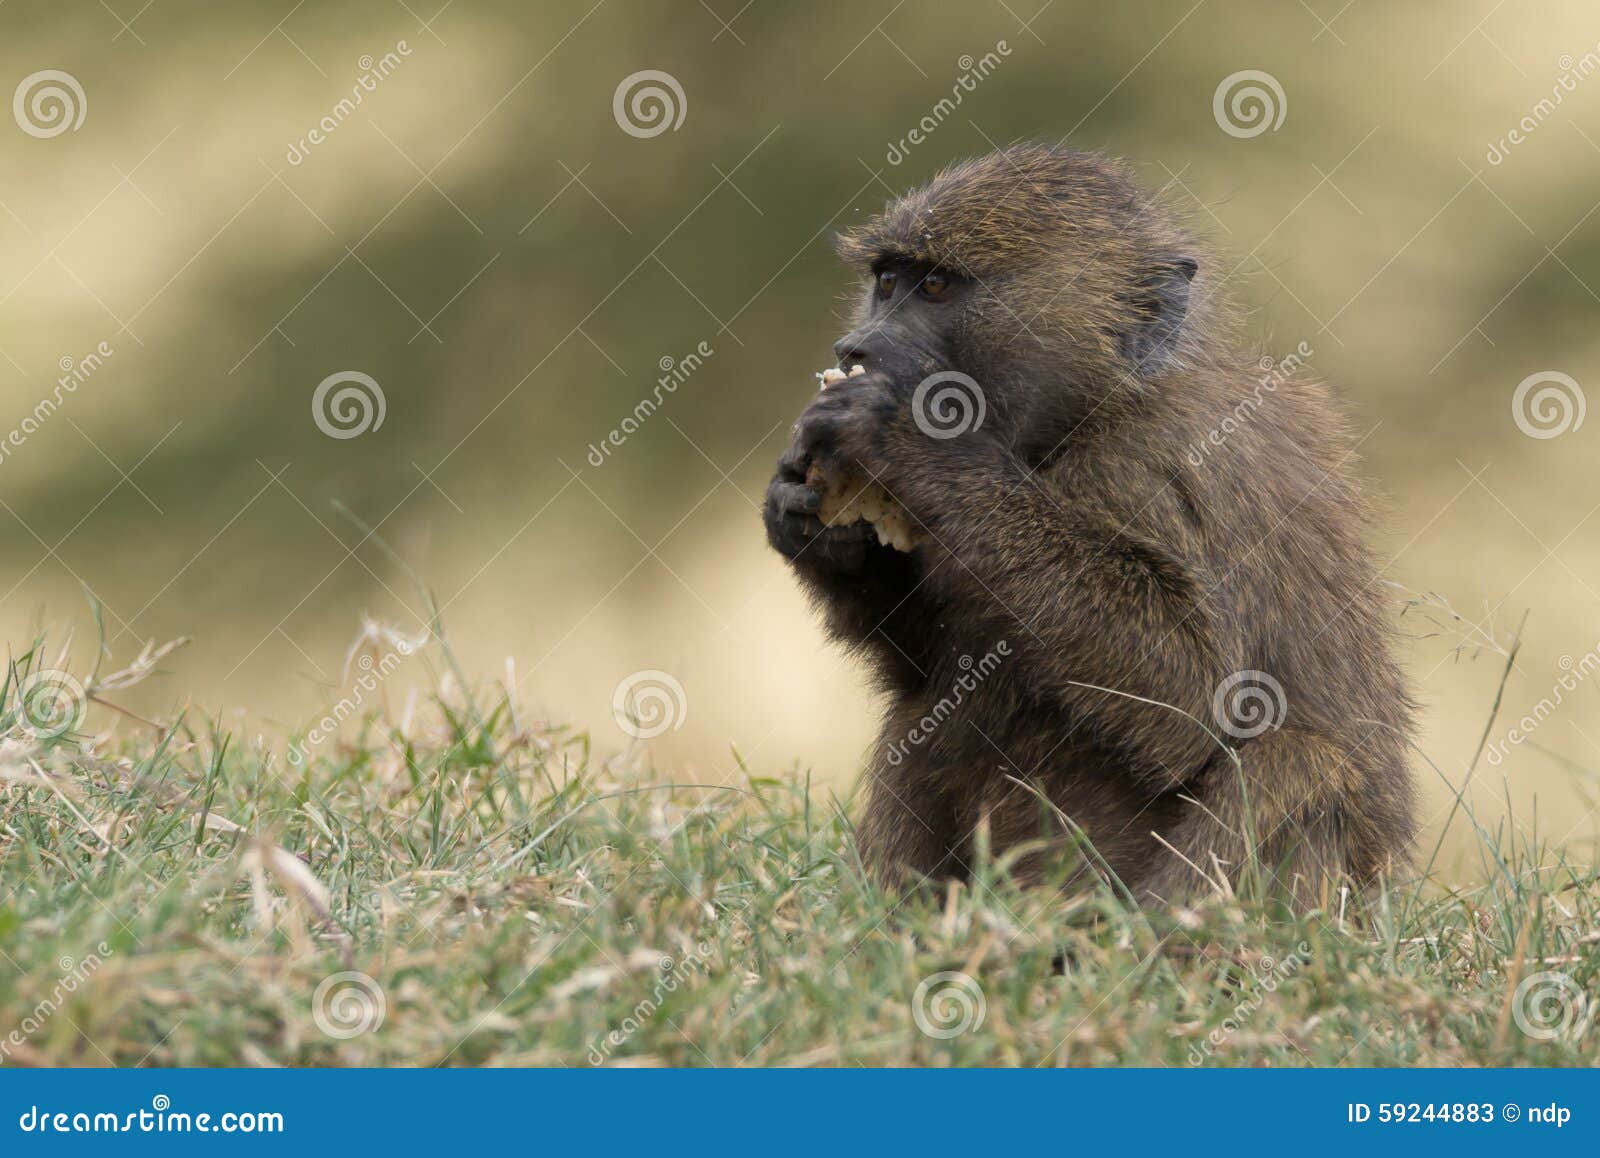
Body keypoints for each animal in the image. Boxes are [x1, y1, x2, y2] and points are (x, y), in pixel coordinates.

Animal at [762, 143, 1415, 908]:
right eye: (888, 282)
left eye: (937, 288)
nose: (854, 348)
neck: (1098, 410)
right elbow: (932, 667)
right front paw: (813, 521)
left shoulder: (1153, 470)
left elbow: (1200, 699)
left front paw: (910, 440)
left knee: (1297, 762)